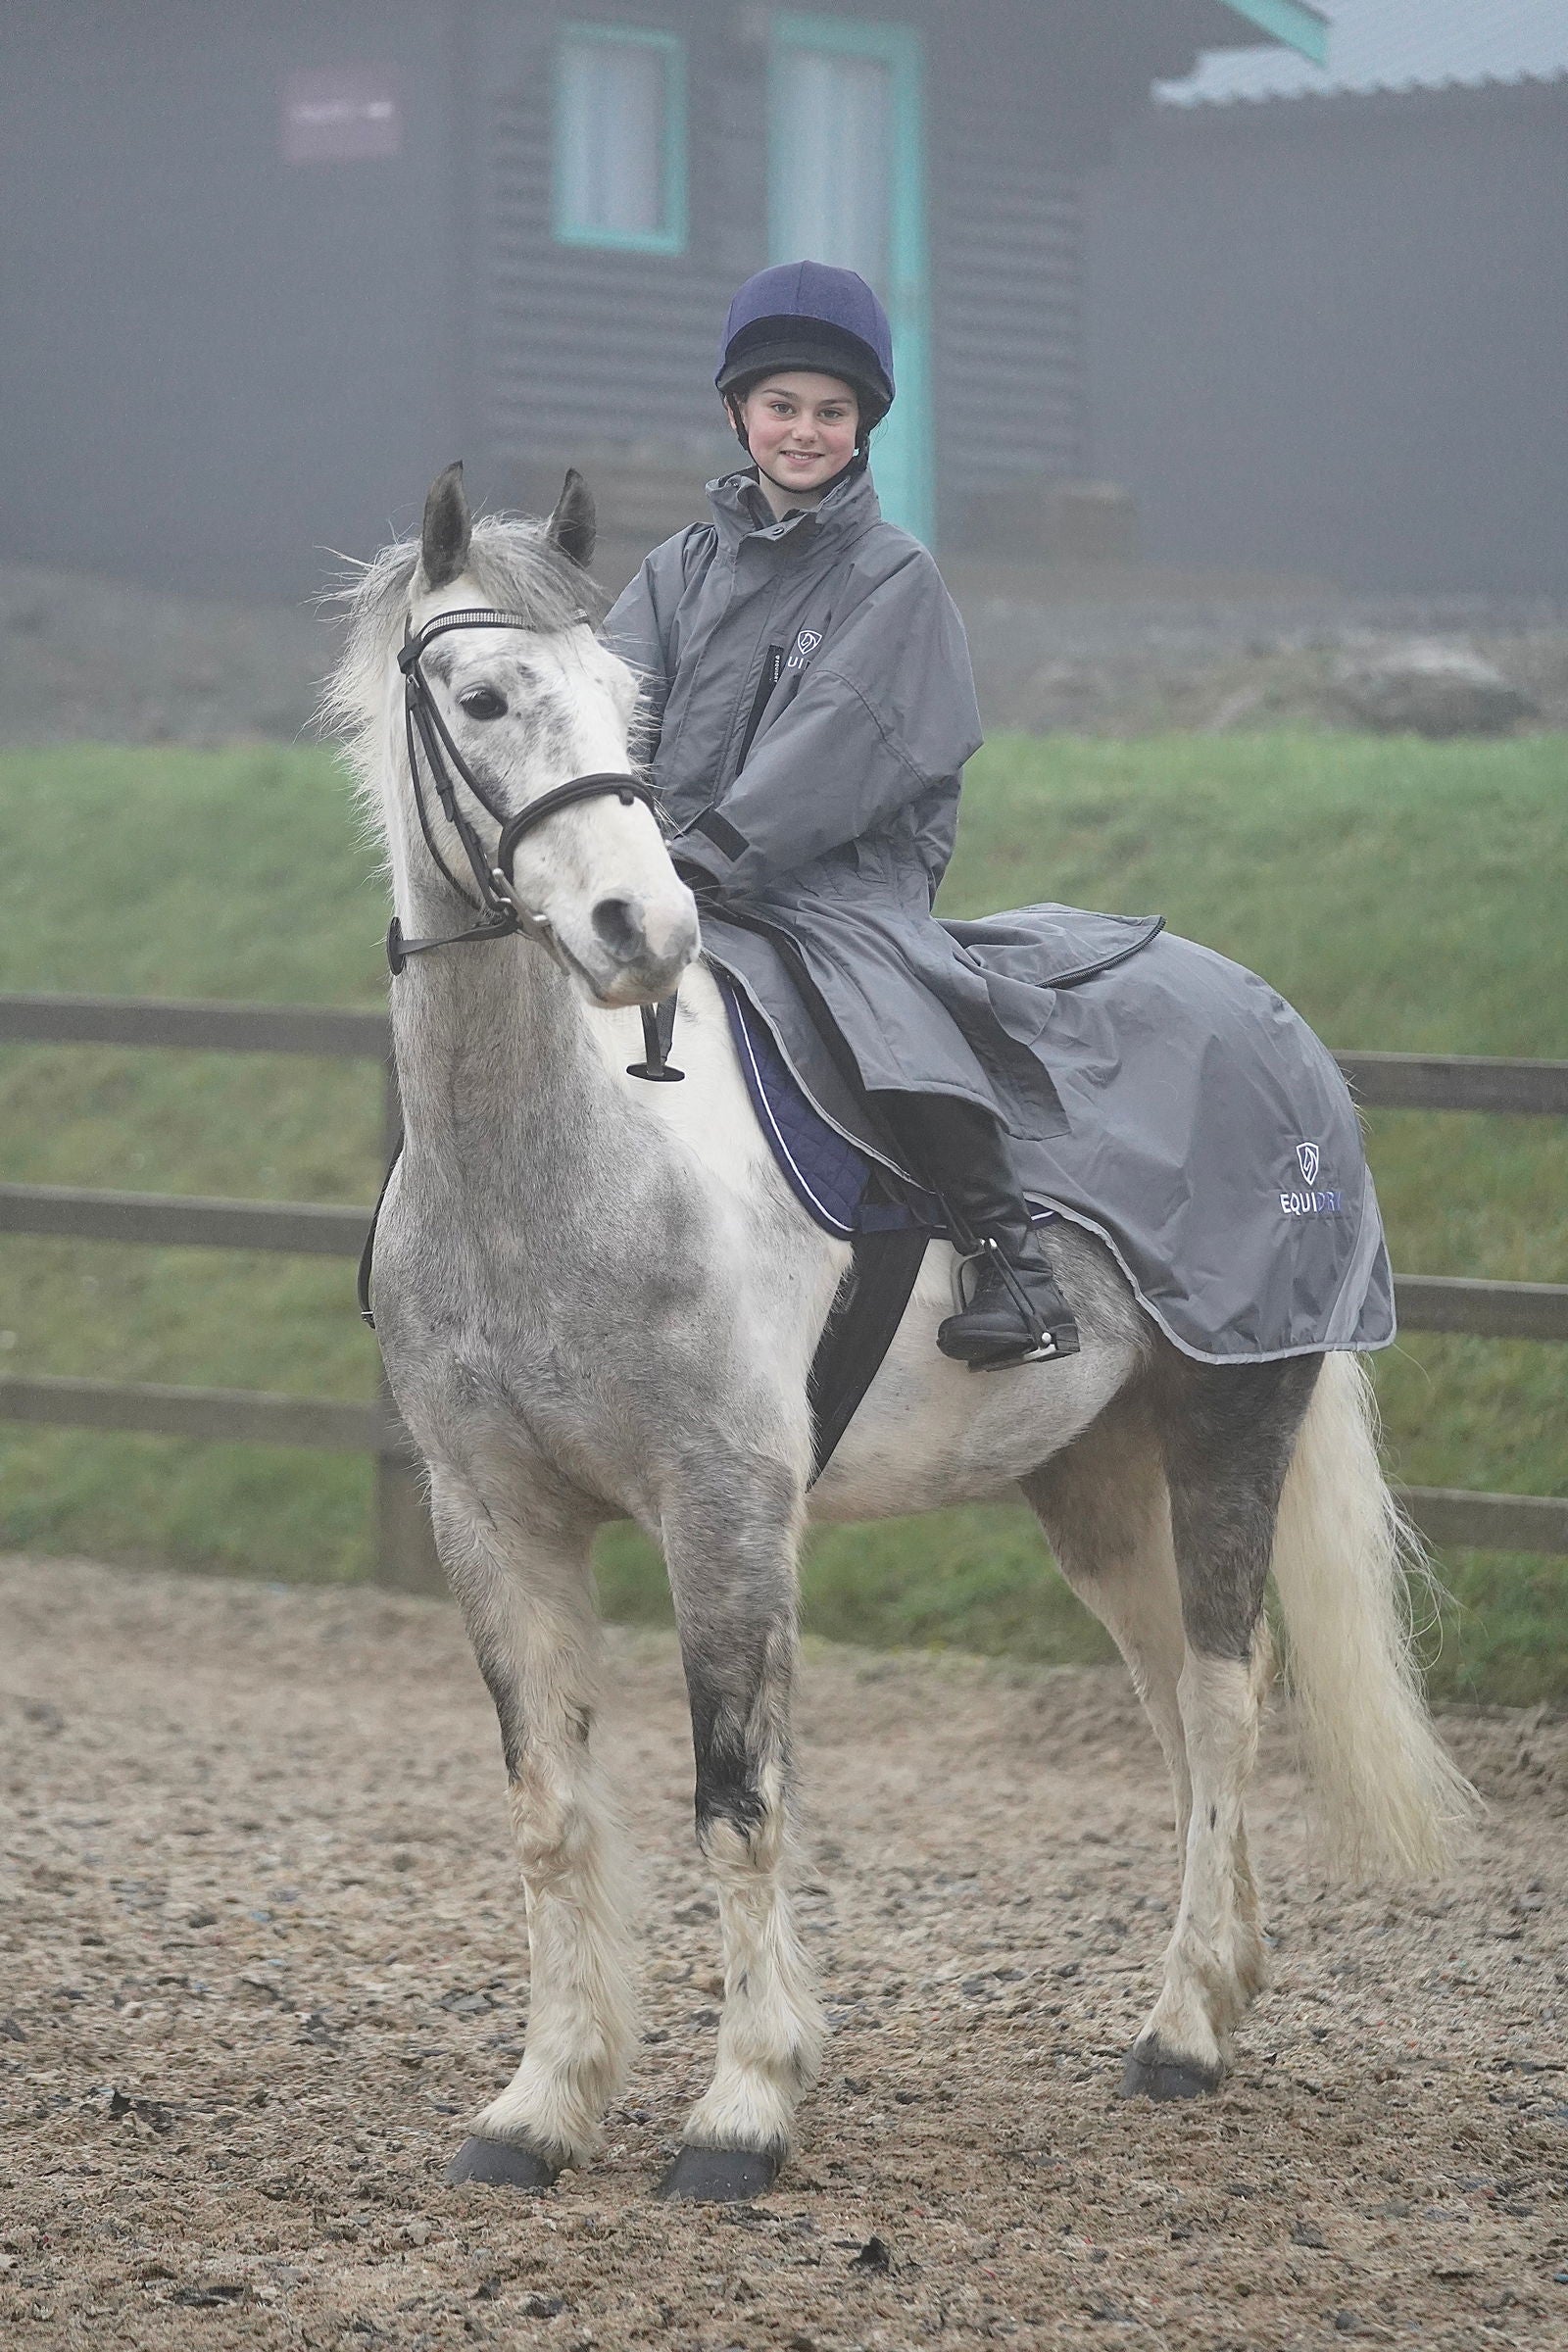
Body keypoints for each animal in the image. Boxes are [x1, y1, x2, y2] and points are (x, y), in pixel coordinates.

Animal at [325, 463, 1476, 2202]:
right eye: (481, 698)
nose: (640, 925)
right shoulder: (493, 1520)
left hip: (1232, 1423)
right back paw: (1221, 1983)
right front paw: (540, 2106)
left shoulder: (726, 1508)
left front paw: (743, 2110)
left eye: (622, 702)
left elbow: (737, 1801)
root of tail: (1273, 1032)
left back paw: (1181, 2036)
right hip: (1090, 1480)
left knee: (1220, 1696)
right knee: (1178, 1699)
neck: (551, 1171)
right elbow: (549, 1810)